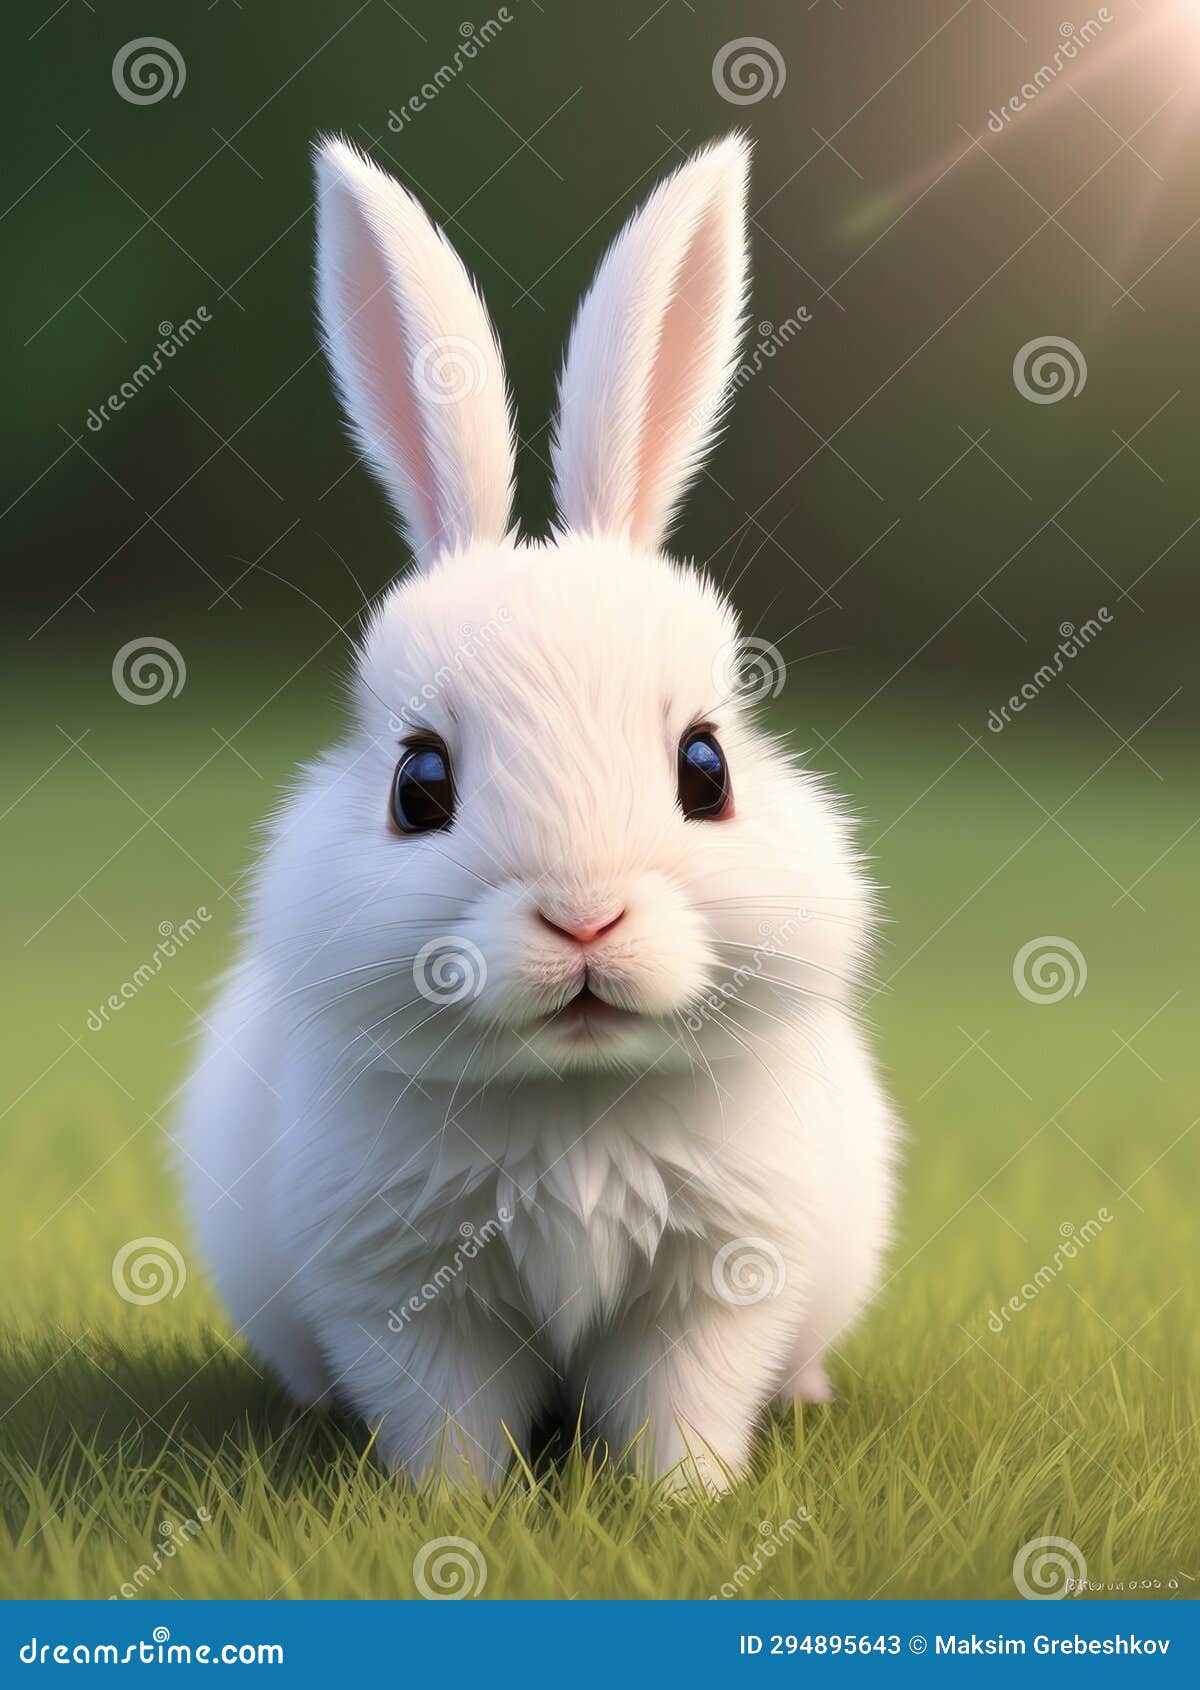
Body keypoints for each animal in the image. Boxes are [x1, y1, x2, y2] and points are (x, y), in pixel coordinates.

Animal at [178, 132, 900, 1493]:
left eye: (707, 770)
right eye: (418, 786)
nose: (584, 920)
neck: (572, 1100)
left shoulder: (714, 1286)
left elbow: (681, 1401)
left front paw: (684, 1503)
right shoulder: (404, 1295)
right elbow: (446, 1413)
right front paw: (447, 1505)